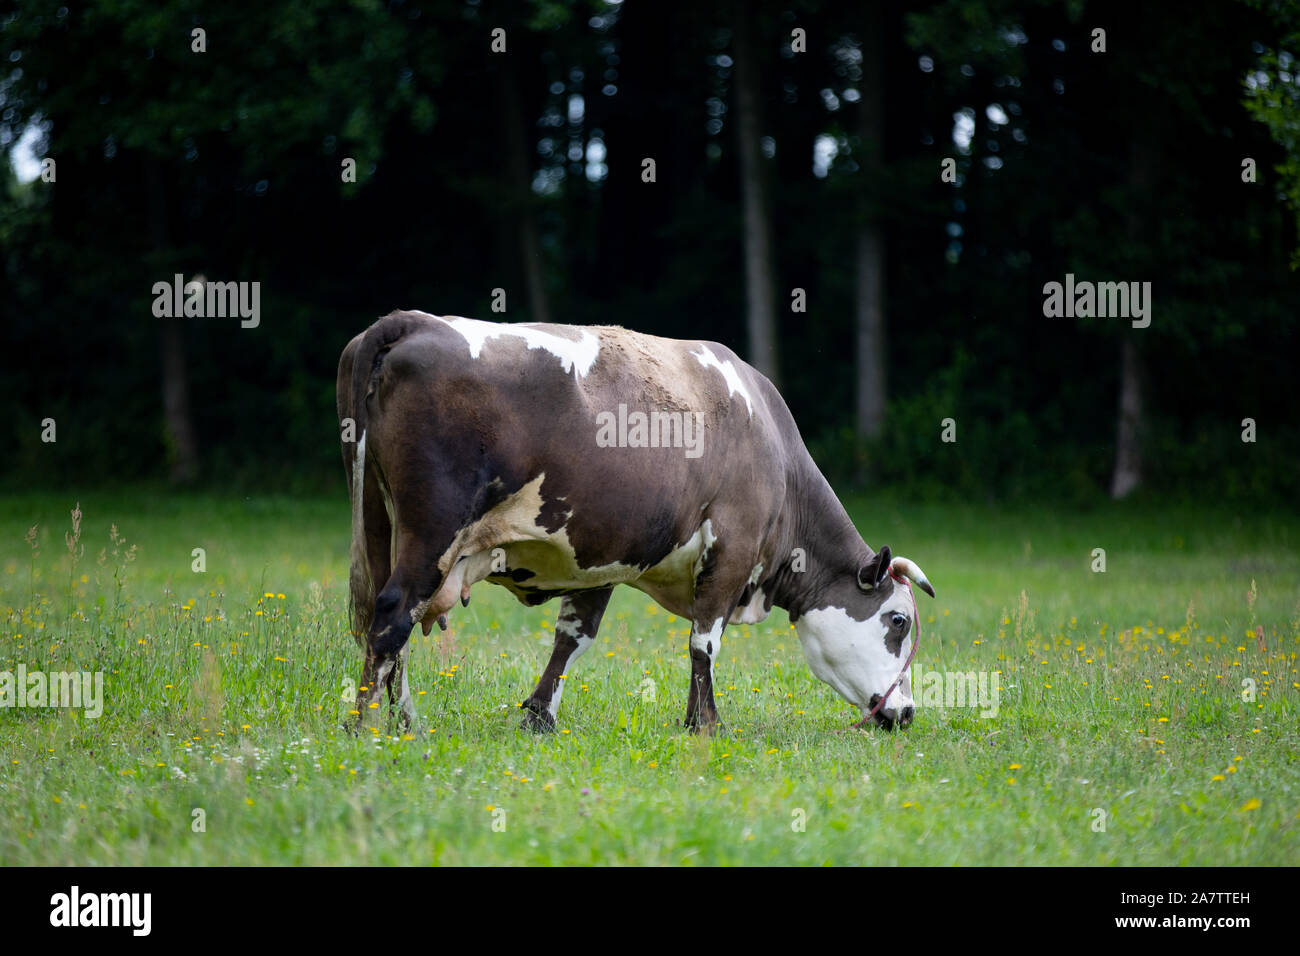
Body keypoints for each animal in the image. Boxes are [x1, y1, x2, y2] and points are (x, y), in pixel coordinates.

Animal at [336, 311, 935, 734]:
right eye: (898, 621)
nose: (906, 713)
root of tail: (416, 320)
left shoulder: (596, 560)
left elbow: (572, 638)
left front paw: (539, 716)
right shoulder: (731, 548)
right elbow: (704, 643)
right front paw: (705, 725)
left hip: (382, 525)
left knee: (390, 622)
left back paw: (402, 720)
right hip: (432, 532)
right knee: (393, 614)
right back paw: (370, 725)